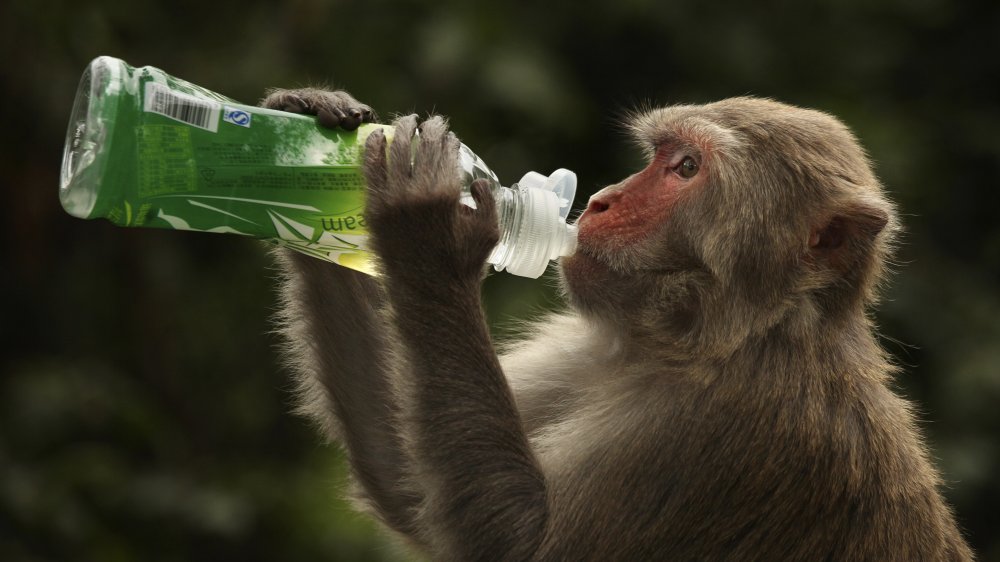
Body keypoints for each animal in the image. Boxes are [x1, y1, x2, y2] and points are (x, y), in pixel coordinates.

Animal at [262, 90, 974, 561]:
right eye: (660, 155)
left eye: (687, 168)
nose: (601, 201)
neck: (716, 340)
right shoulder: (589, 346)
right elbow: (407, 480)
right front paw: (310, 133)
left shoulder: (723, 427)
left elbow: (516, 545)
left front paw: (428, 230)